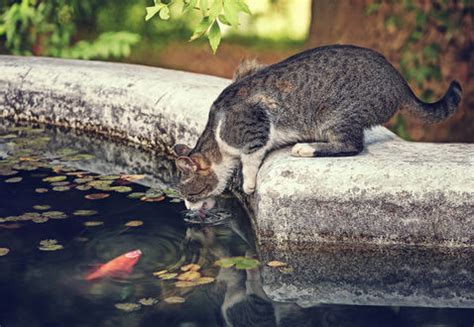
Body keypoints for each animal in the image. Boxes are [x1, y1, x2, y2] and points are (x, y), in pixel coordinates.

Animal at [171, 43, 462, 210]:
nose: (189, 209)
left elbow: (251, 159)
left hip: (335, 114)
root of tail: (399, 81)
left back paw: (306, 148)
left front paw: (248, 183)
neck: (217, 132)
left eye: (191, 194)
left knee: (352, 145)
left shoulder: (256, 124)